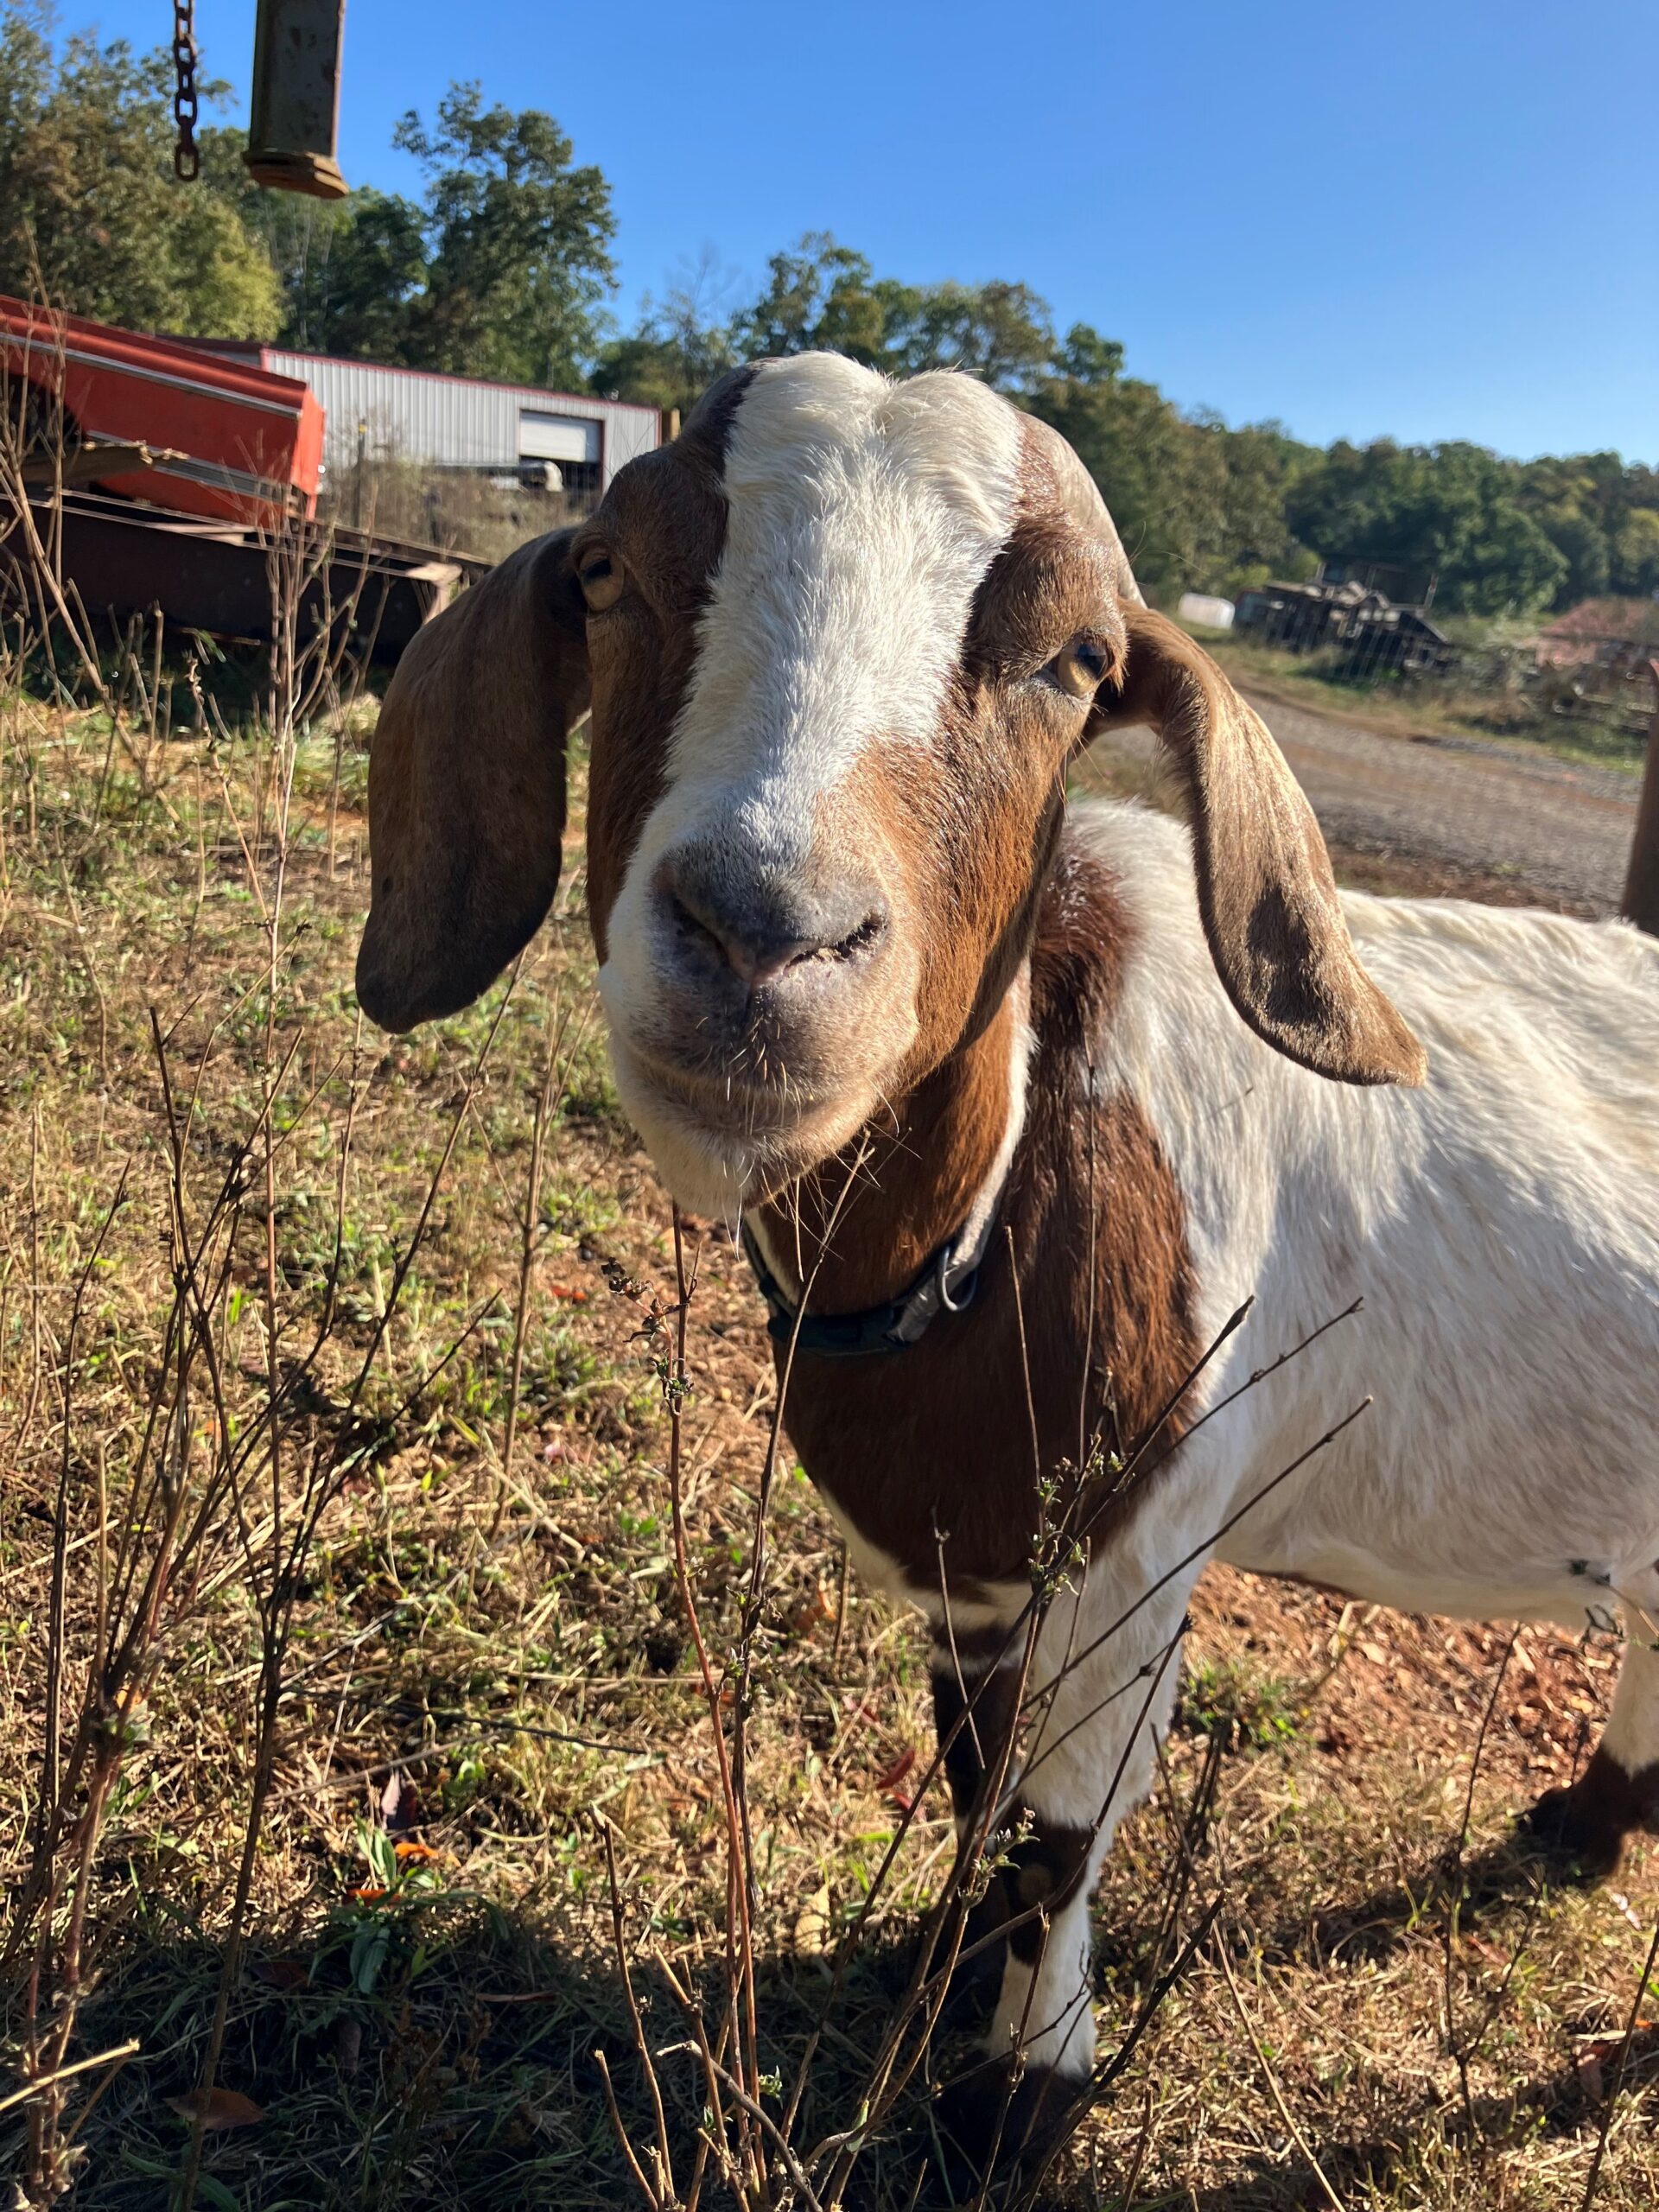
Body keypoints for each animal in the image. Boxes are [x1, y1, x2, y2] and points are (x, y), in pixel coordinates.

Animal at [356, 353, 1659, 2162]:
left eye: (1076, 663)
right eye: (608, 577)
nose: (766, 936)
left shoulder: (1136, 1561)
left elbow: (1060, 1831)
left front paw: (1015, 2105)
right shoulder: (971, 1563)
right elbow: (980, 1782)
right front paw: (932, 1969)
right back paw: (1585, 1828)